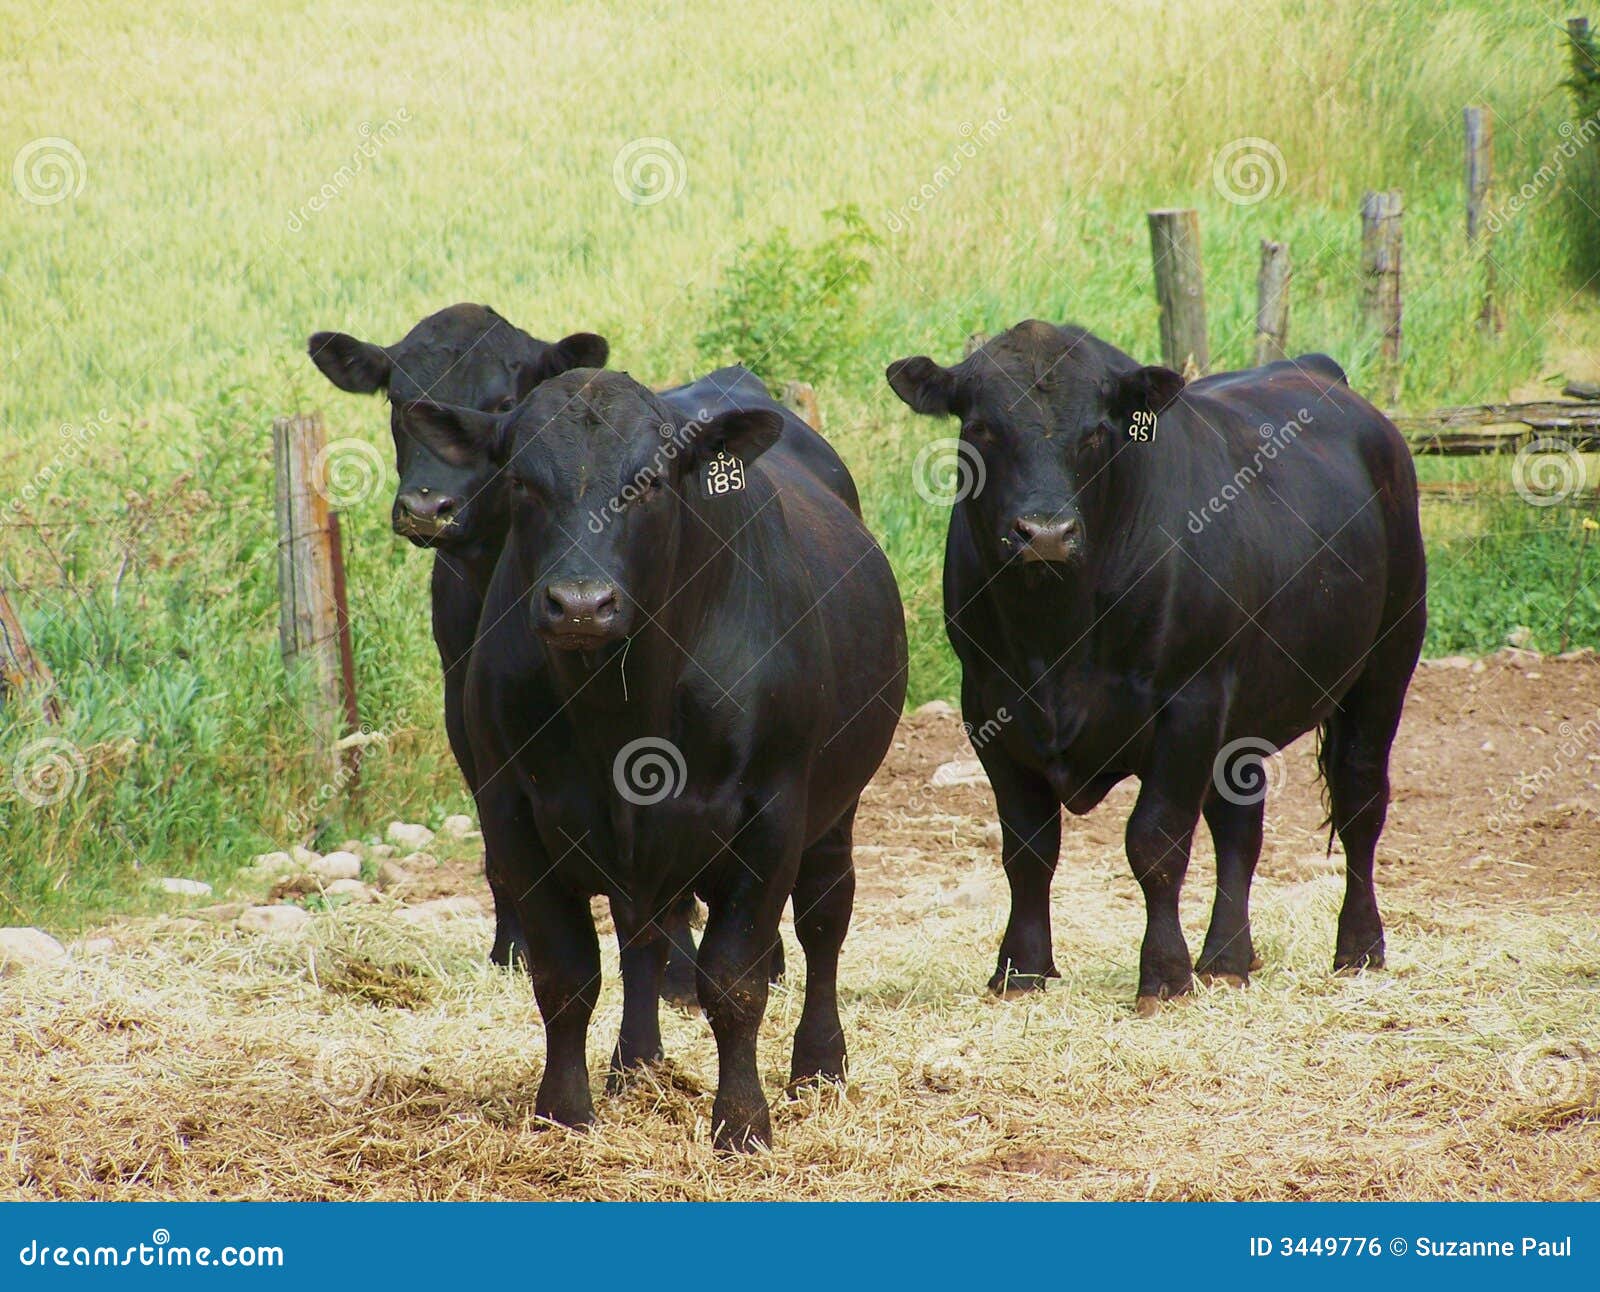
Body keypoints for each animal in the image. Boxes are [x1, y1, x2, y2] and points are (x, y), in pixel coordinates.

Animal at [307, 305, 696, 1002]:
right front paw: (513, 946)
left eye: (505, 403)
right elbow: (499, 839)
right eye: (399, 402)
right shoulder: (466, 707)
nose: (427, 508)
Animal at [400, 367, 907, 1150]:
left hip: (834, 809)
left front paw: (742, 1123)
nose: (581, 604)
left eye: (650, 482)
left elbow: (734, 979)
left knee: (825, 919)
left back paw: (820, 1064)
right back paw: (636, 1063)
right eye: (520, 481)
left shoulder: (771, 813)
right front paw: (564, 1112)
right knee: (644, 937)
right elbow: (565, 975)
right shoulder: (515, 811)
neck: (623, 706)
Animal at [886, 320, 1425, 1014]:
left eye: (1096, 431)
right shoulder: (988, 707)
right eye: (980, 427)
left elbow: (1156, 840)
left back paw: (1357, 947)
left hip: (1384, 666)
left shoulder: (1189, 703)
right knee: (1239, 829)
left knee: (1361, 800)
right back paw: (1227, 959)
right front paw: (1020, 970)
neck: (1055, 632)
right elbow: (1028, 849)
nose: (1045, 533)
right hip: (1243, 719)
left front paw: (1164, 975)